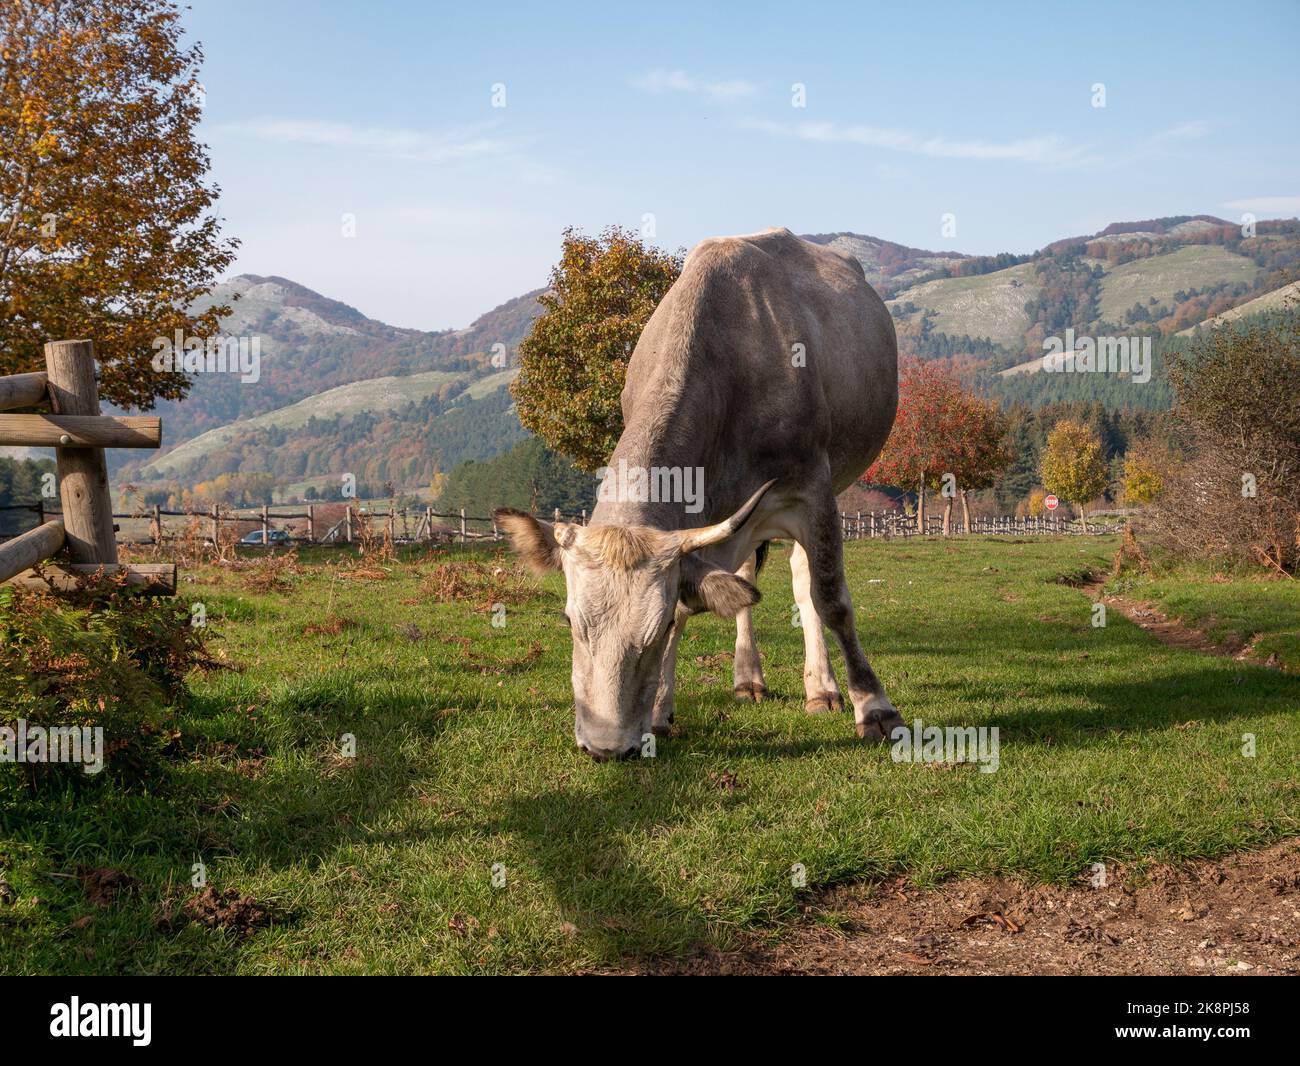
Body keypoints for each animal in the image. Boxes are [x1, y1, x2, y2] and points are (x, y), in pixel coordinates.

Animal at [496, 227, 902, 761]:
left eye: (655, 627)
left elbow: (831, 598)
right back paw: (750, 678)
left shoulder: (812, 488)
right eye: (569, 623)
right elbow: (703, 600)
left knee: (804, 580)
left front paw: (874, 709)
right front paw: (659, 711)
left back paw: (822, 688)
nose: (605, 747)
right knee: (749, 578)